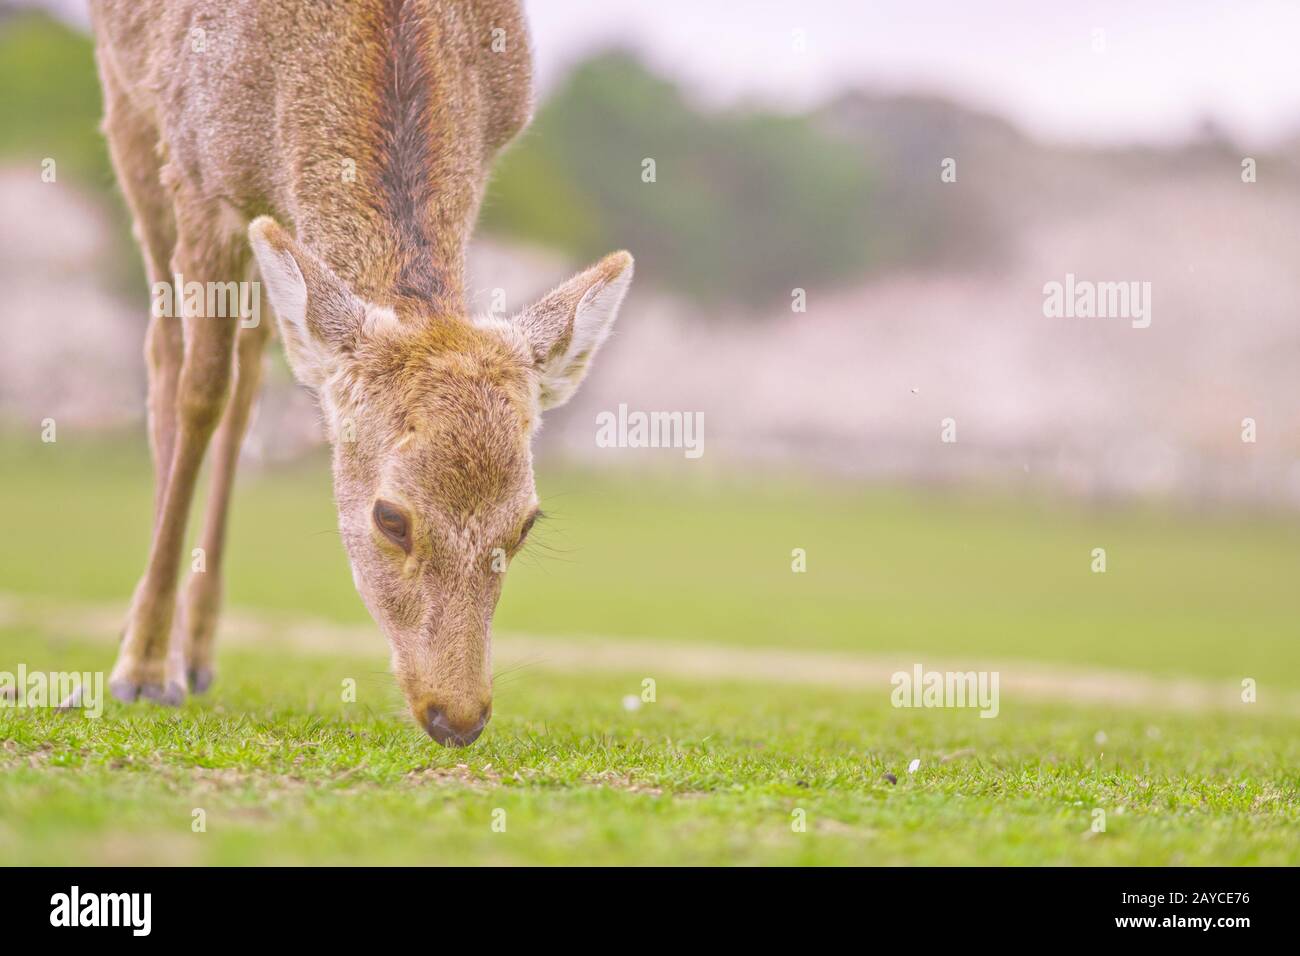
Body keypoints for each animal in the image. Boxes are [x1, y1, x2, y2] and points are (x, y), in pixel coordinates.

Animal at [88, 0, 632, 746]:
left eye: (526, 523)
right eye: (390, 518)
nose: (458, 716)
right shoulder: (198, 168)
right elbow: (198, 390)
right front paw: (140, 669)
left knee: (254, 367)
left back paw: (197, 652)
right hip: (129, 109)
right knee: (169, 354)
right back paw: (155, 650)